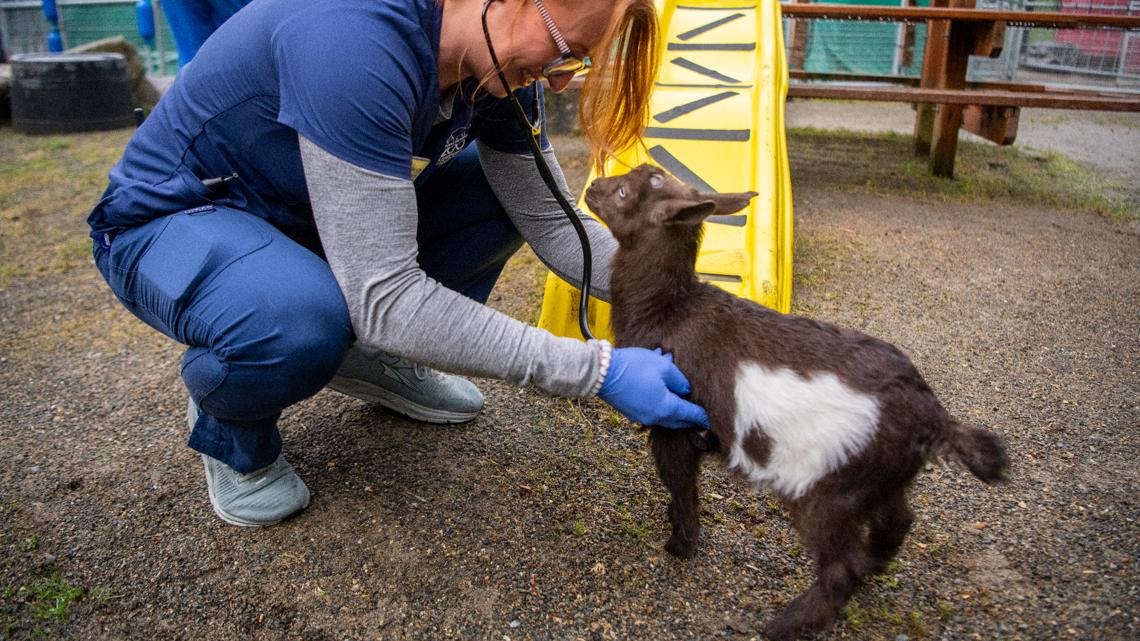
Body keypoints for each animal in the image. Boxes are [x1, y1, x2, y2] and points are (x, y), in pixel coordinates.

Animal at [584, 164, 1009, 640]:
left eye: (623, 193)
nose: (591, 189)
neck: (667, 311)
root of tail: (934, 419)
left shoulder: (671, 423)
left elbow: (681, 485)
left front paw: (680, 544)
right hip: (878, 479)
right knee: (896, 522)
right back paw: (870, 567)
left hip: (829, 490)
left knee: (839, 568)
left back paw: (786, 624)